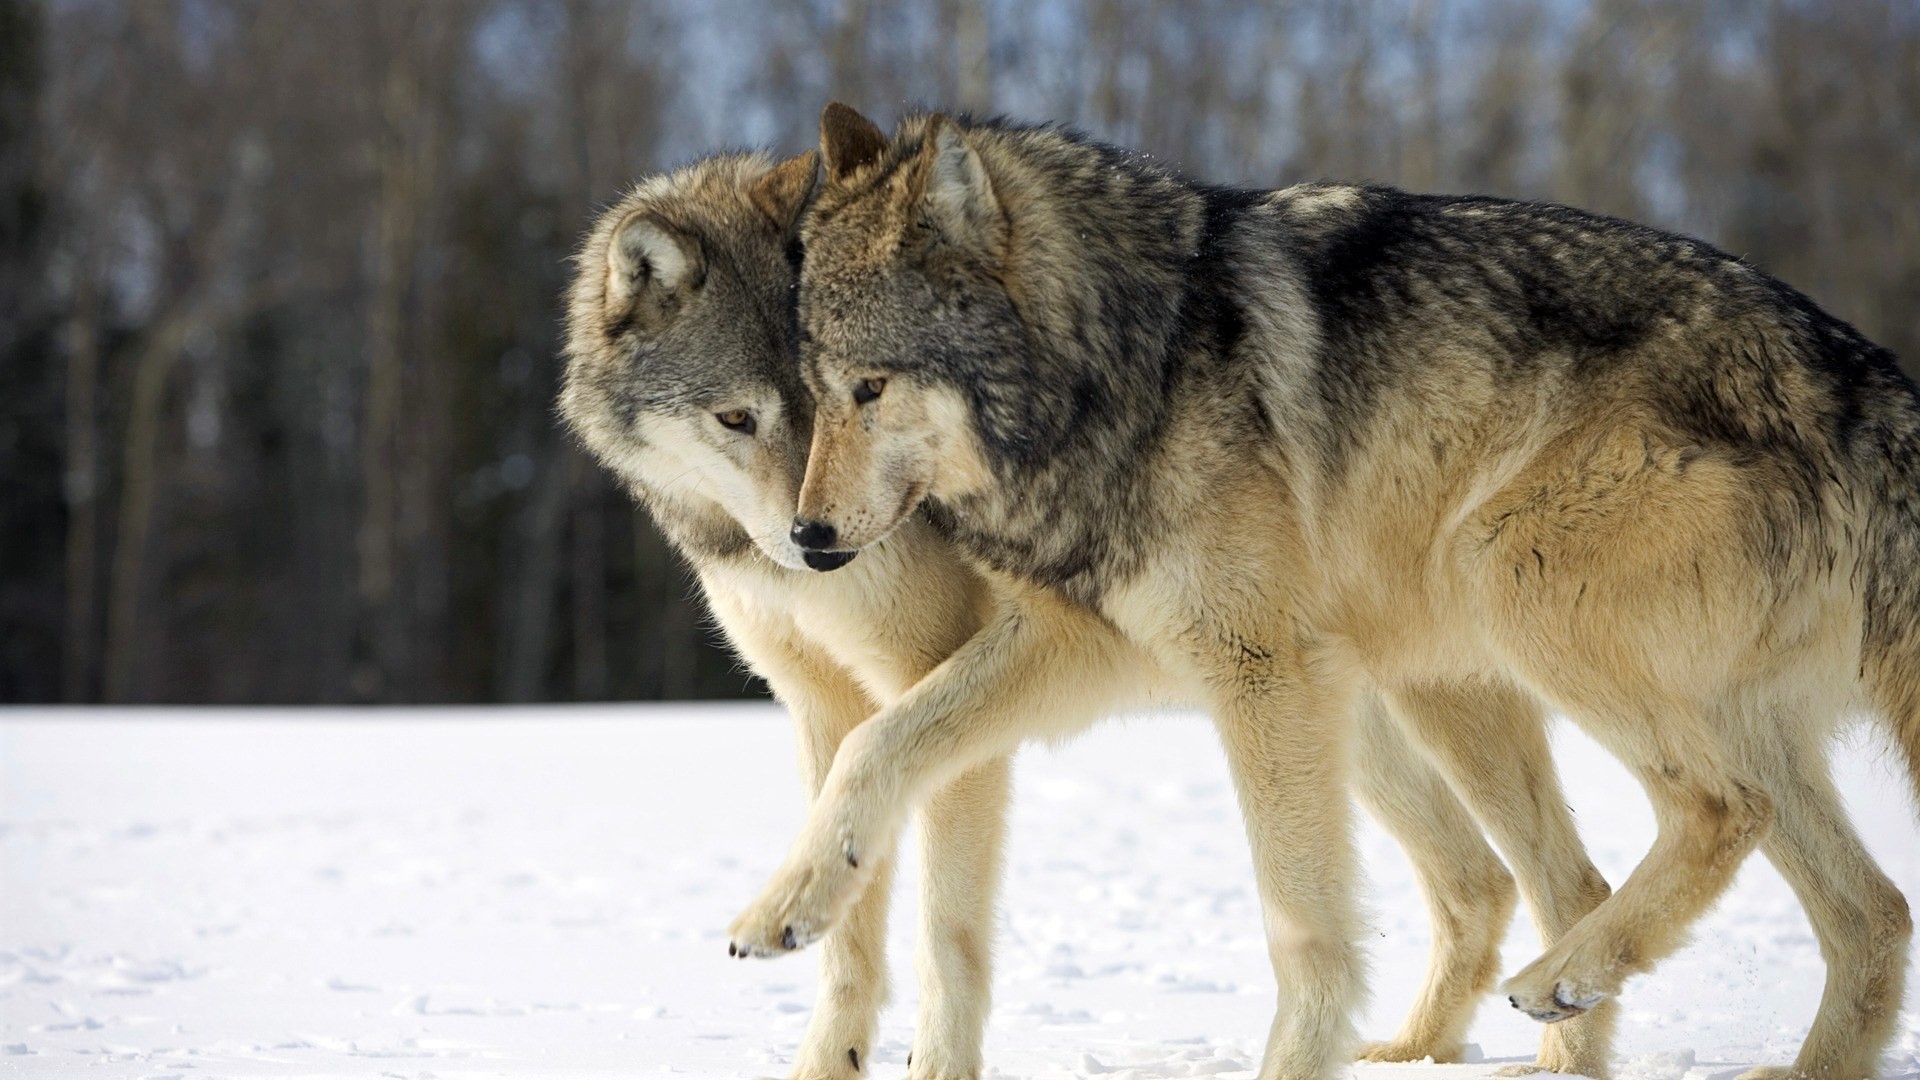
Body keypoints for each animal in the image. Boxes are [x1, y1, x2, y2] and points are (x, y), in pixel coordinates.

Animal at [561, 152, 1615, 1076]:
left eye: (852, 401)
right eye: (738, 418)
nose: (817, 542)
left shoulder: (955, 681)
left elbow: (942, 927)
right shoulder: (824, 705)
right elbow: (848, 929)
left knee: (1532, 877)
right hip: (1344, 714)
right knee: (1482, 880)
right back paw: (1421, 1053)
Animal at [726, 104, 1920, 1080]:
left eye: (870, 388)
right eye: (813, 392)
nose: (809, 539)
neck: (1130, 366)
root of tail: (1861, 374)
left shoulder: (1262, 671)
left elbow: (1300, 923)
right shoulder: (1088, 645)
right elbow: (875, 741)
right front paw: (788, 905)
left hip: (1503, 580)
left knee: (1720, 813)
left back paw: (1565, 977)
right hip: (1471, 684)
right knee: (1862, 909)